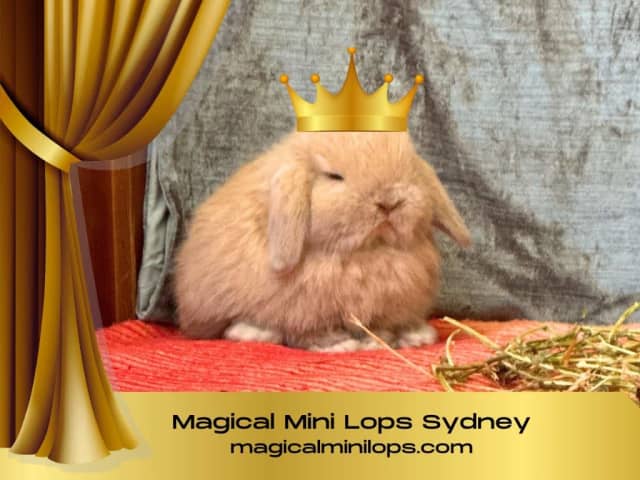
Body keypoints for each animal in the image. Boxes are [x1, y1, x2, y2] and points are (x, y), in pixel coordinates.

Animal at [174, 130, 471, 351]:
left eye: (409, 169)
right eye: (334, 176)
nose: (389, 201)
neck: (368, 252)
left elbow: (379, 328)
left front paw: (378, 341)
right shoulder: (307, 313)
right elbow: (312, 334)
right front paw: (340, 346)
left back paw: (417, 335)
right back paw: (252, 333)